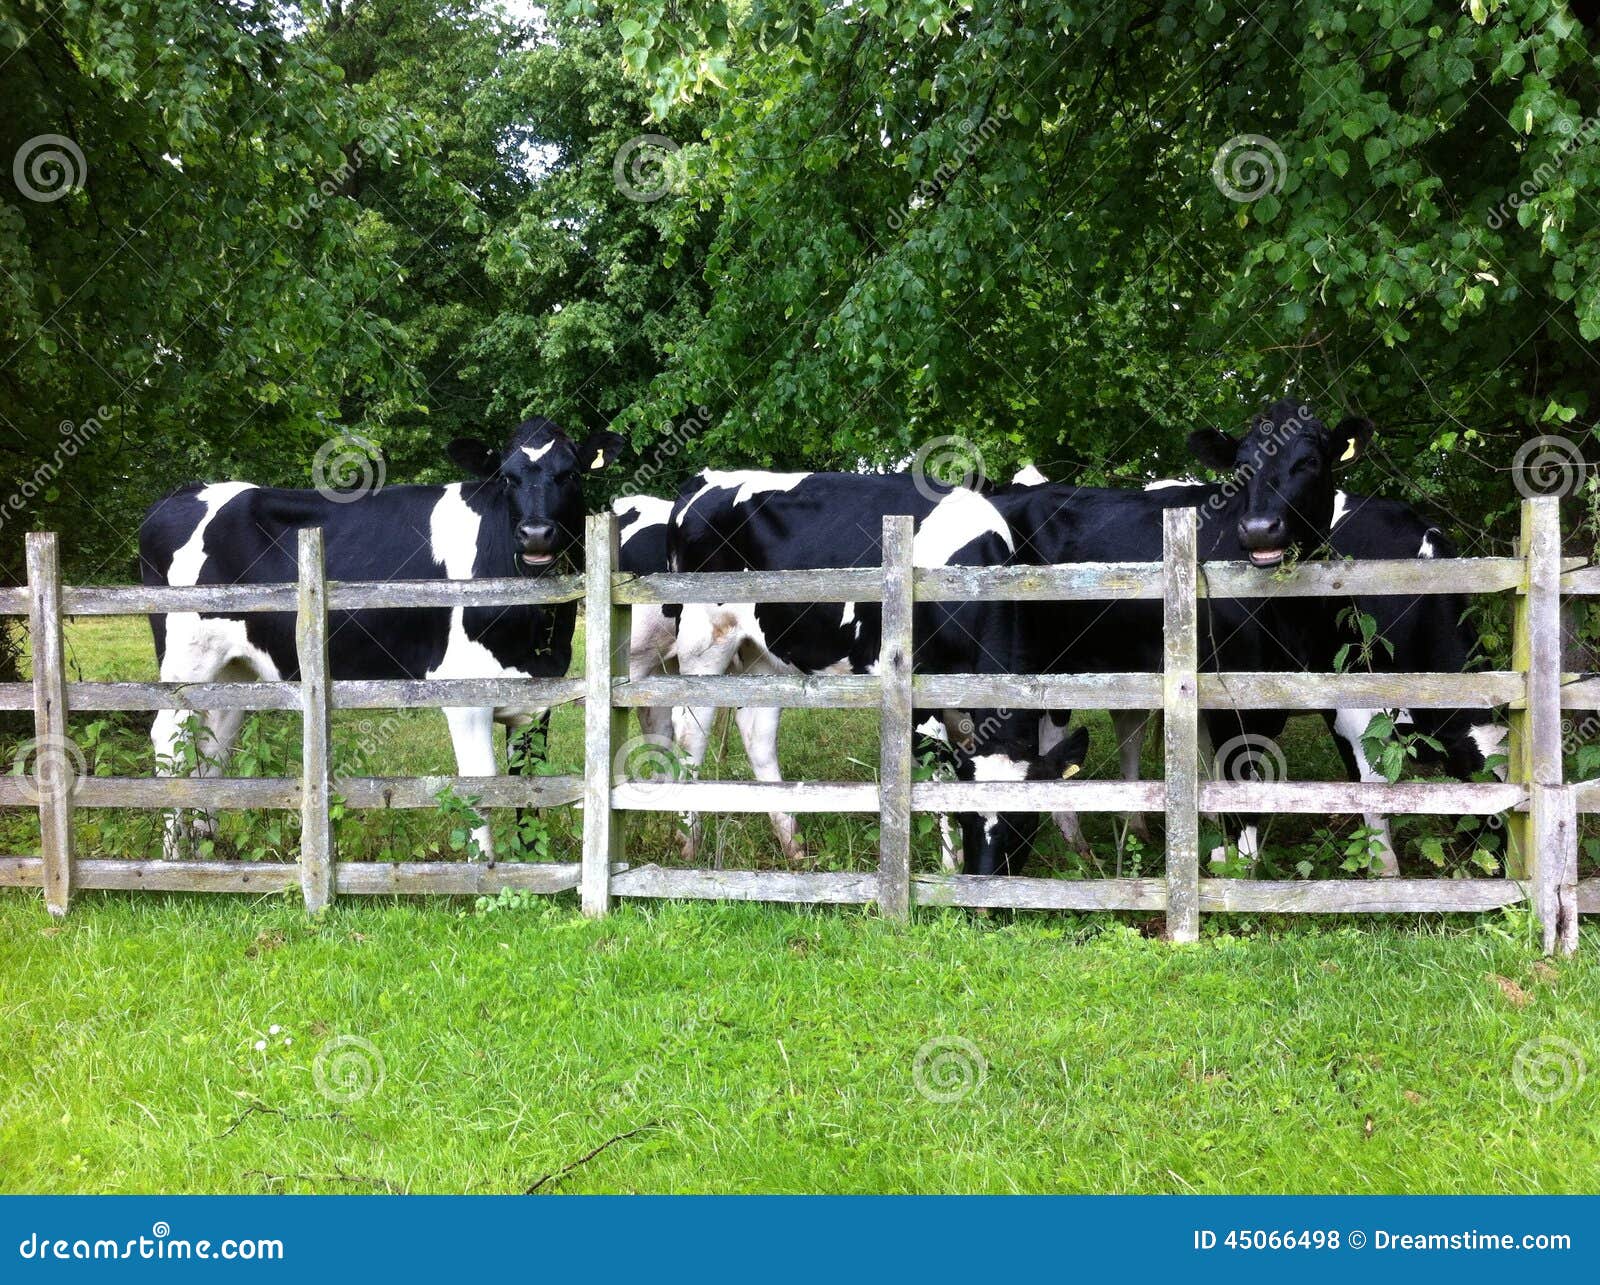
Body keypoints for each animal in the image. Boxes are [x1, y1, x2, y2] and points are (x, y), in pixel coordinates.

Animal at [138, 417, 625, 861]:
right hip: (185, 658)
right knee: (170, 740)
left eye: (571, 473)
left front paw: (529, 862)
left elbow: (530, 787)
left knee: (212, 744)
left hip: (232, 670)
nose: (536, 534)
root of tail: (181, 494)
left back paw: (205, 849)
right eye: (506, 477)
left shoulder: (538, 693)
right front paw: (484, 871)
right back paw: (173, 856)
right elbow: (480, 789)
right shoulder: (464, 693)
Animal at [665, 470, 1089, 876]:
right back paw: (689, 843)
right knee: (690, 735)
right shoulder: (919, 692)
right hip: (704, 641)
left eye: (1025, 823)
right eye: (966, 817)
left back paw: (793, 845)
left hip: (764, 654)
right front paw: (948, 866)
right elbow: (935, 770)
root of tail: (702, 480)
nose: (983, 881)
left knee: (757, 734)